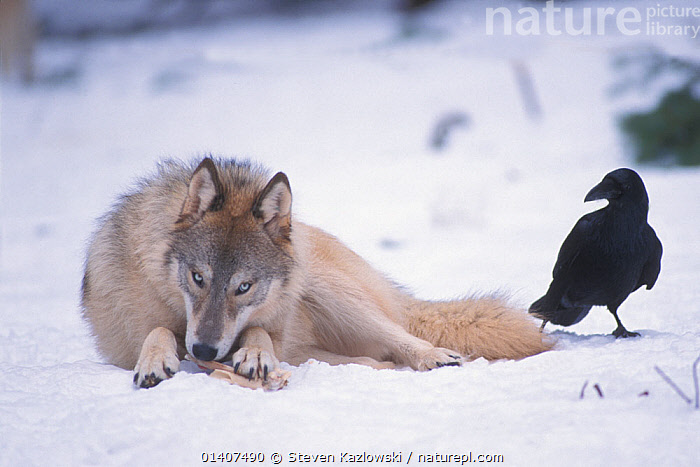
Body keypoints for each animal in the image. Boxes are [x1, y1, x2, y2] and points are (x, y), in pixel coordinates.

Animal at [81, 157, 552, 388]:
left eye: (244, 287)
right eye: (198, 278)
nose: (204, 351)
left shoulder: (267, 324)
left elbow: (258, 333)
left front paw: (254, 356)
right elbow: (157, 330)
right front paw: (155, 361)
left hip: (330, 290)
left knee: (401, 338)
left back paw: (436, 357)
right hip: (322, 344)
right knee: (376, 360)